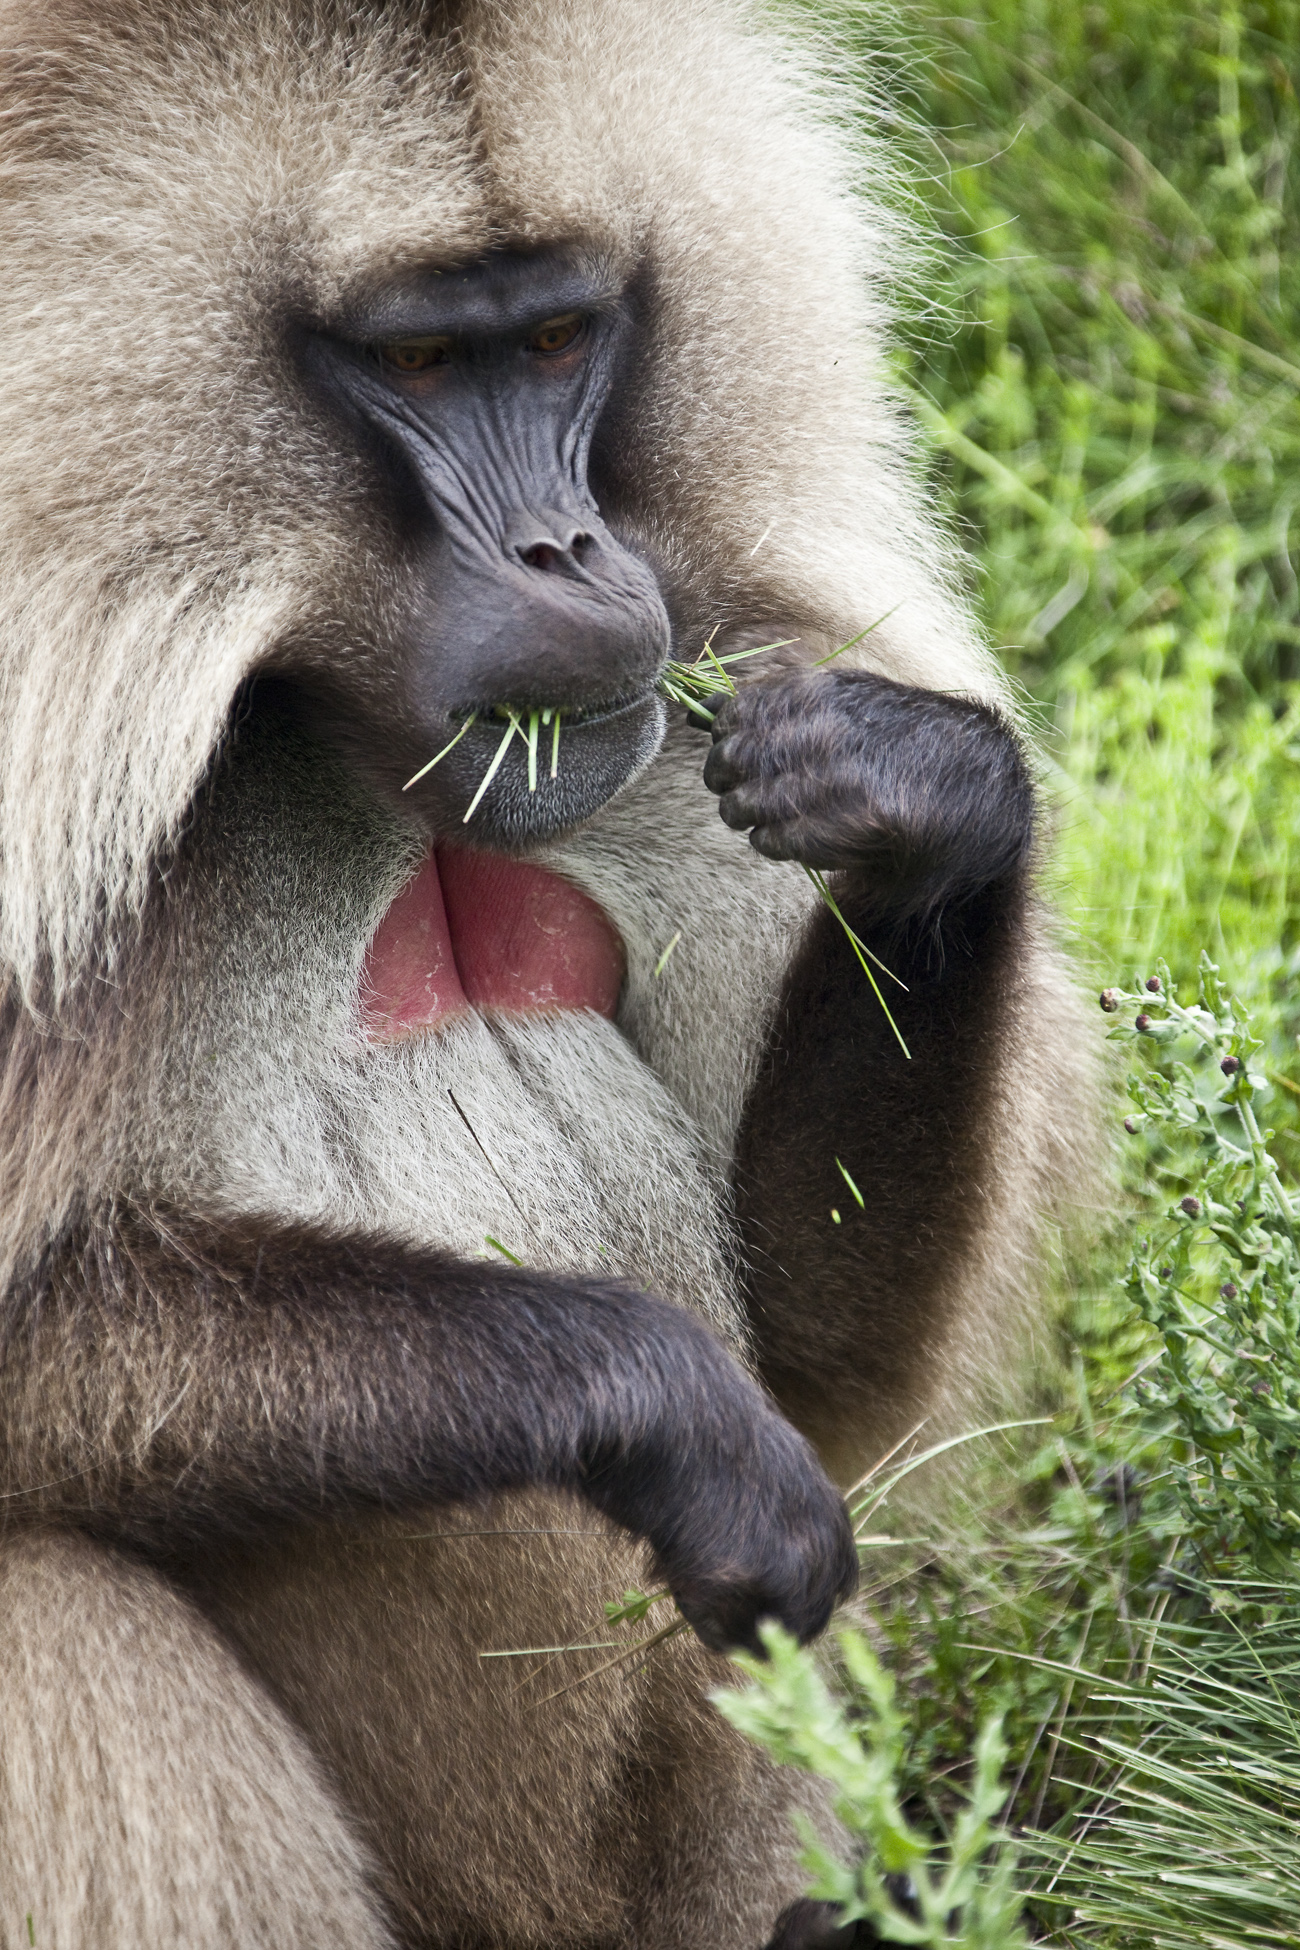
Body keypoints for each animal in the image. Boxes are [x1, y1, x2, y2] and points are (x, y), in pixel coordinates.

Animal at [0, 0, 1091, 1944]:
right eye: (424, 362)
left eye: (565, 336)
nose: (573, 556)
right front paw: (672, 1413)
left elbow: (827, 1381)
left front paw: (925, 810)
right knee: (52, 1608)